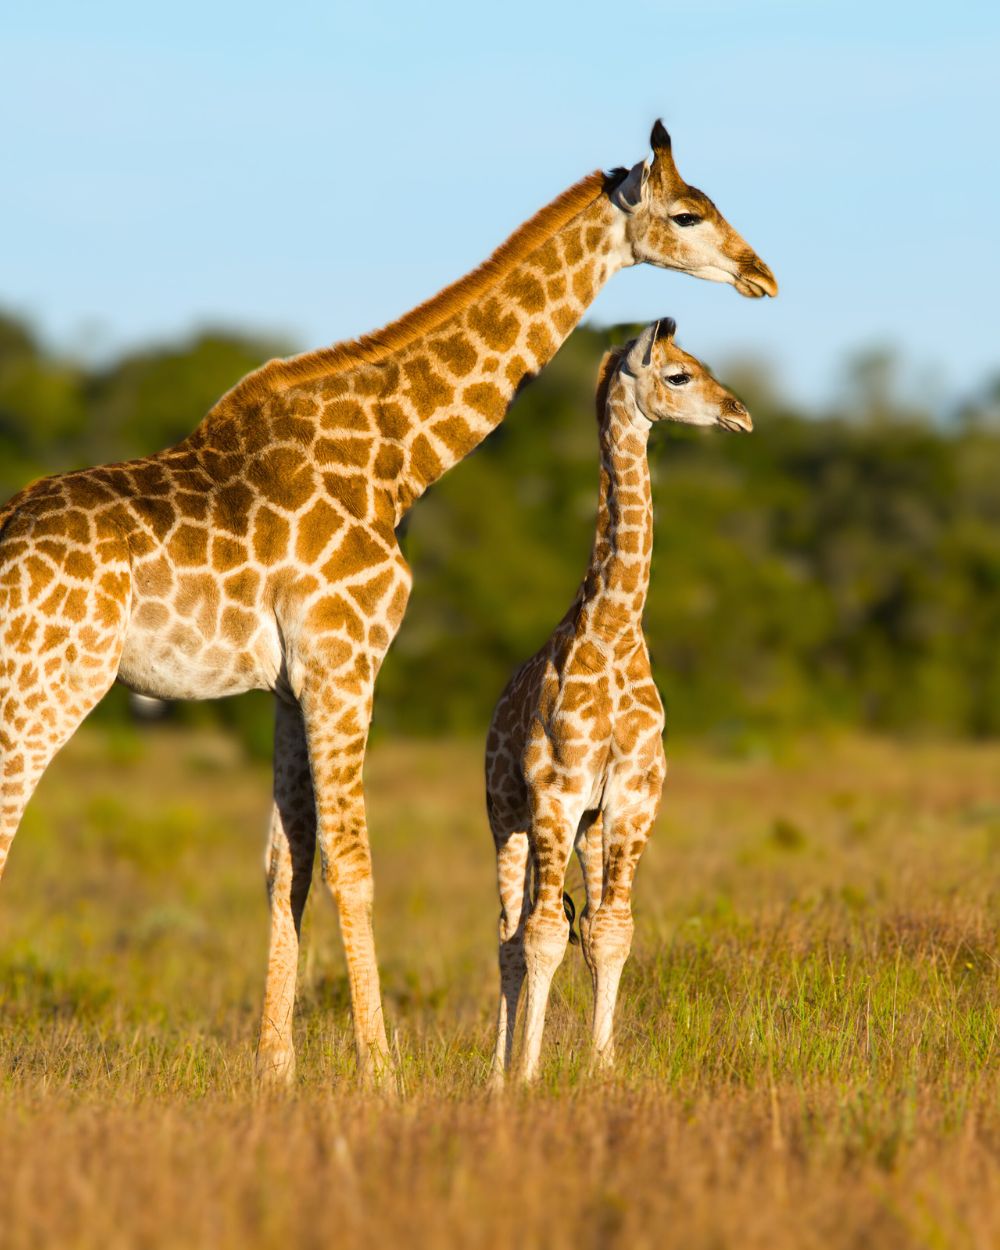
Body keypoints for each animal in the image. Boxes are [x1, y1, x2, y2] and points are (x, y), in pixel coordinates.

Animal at [484, 319, 752, 1085]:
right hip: (508, 815)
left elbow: (611, 931)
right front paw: (528, 1075)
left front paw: (601, 1069)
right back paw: (496, 1072)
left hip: (590, 826)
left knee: (570, 921)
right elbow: (543, 935)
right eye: (679, 375)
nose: (740, 414)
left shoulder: (632, 796)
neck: (613, 627)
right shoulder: (555, 791)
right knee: (509, 933)